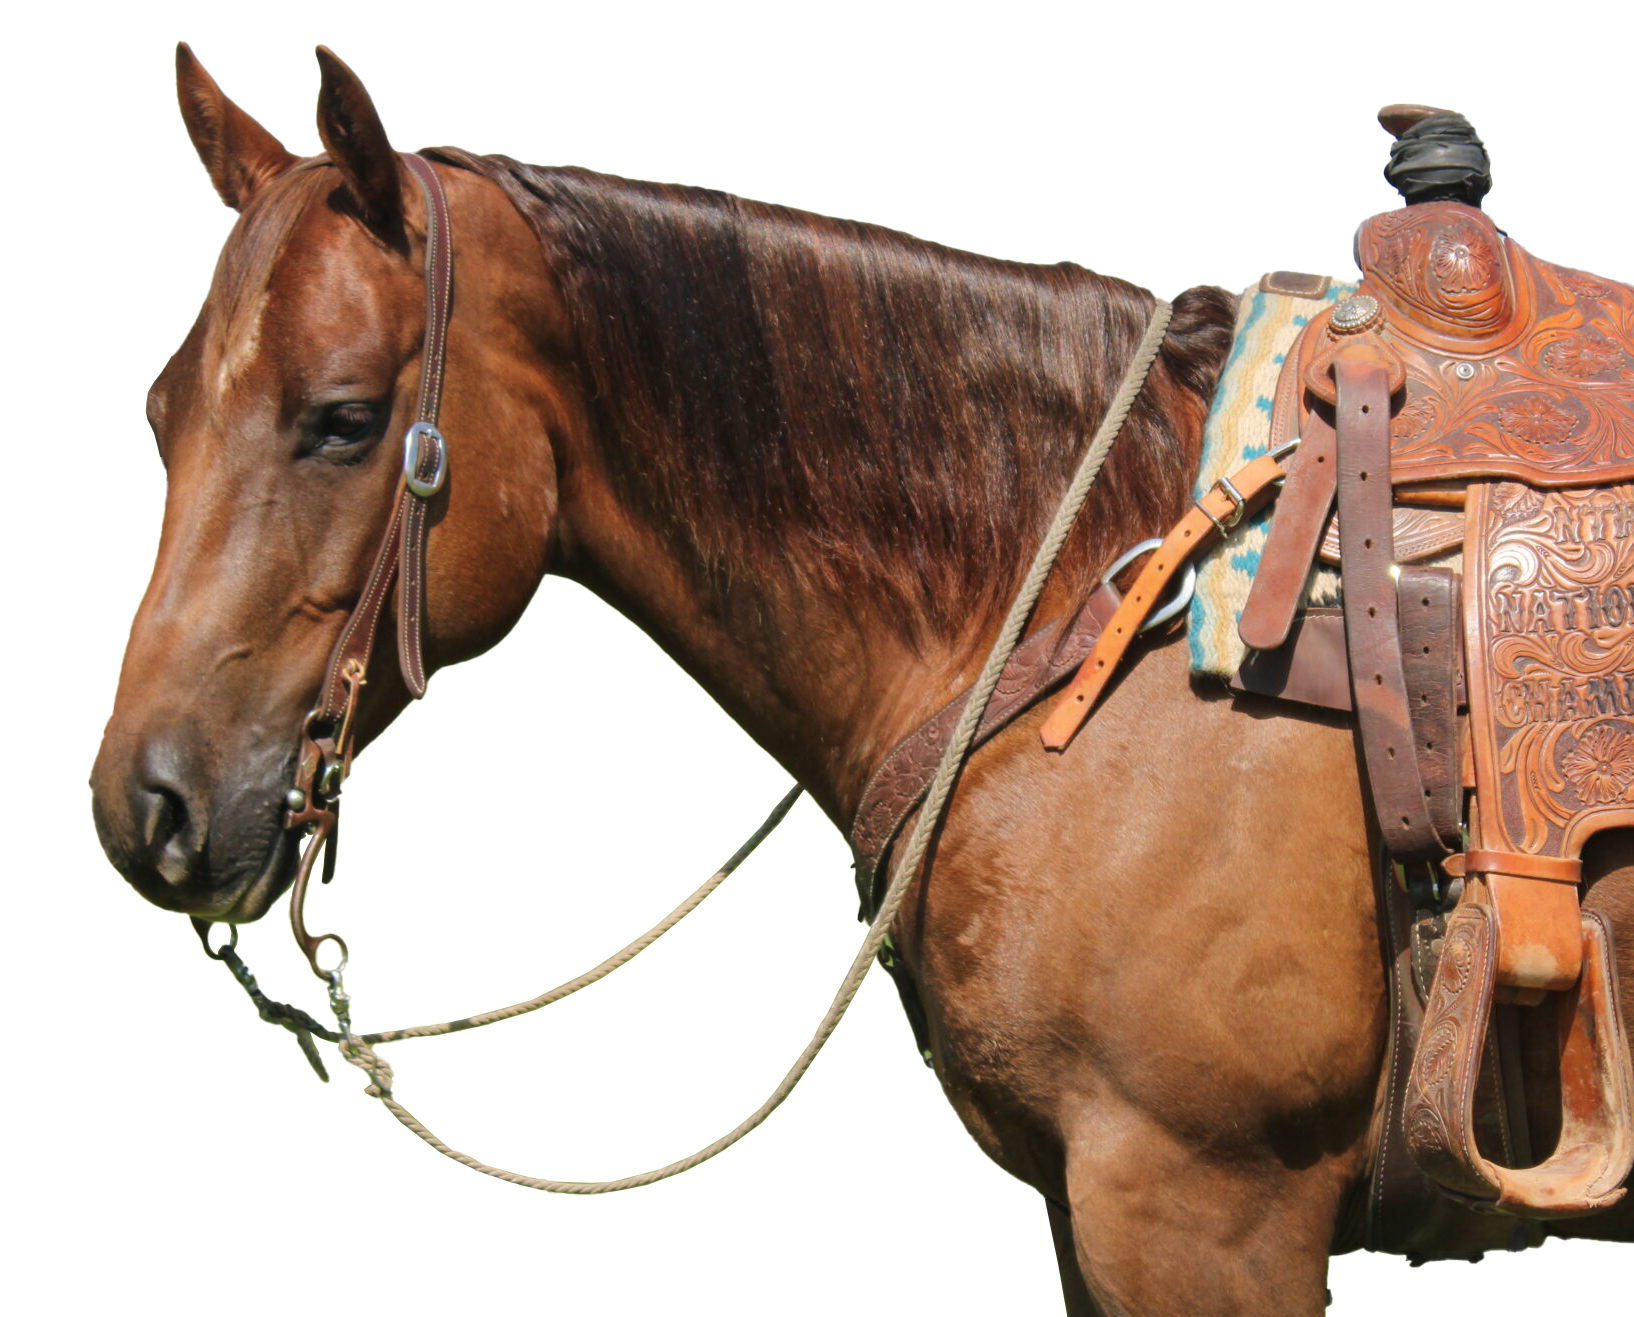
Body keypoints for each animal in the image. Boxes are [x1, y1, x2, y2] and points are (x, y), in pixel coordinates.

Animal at [89, 43, 1634, 1315]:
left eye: (345, 420)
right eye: (158, 408)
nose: (146, 804)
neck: (1099, 617)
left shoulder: (1200, 1209)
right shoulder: (1096, 1214)